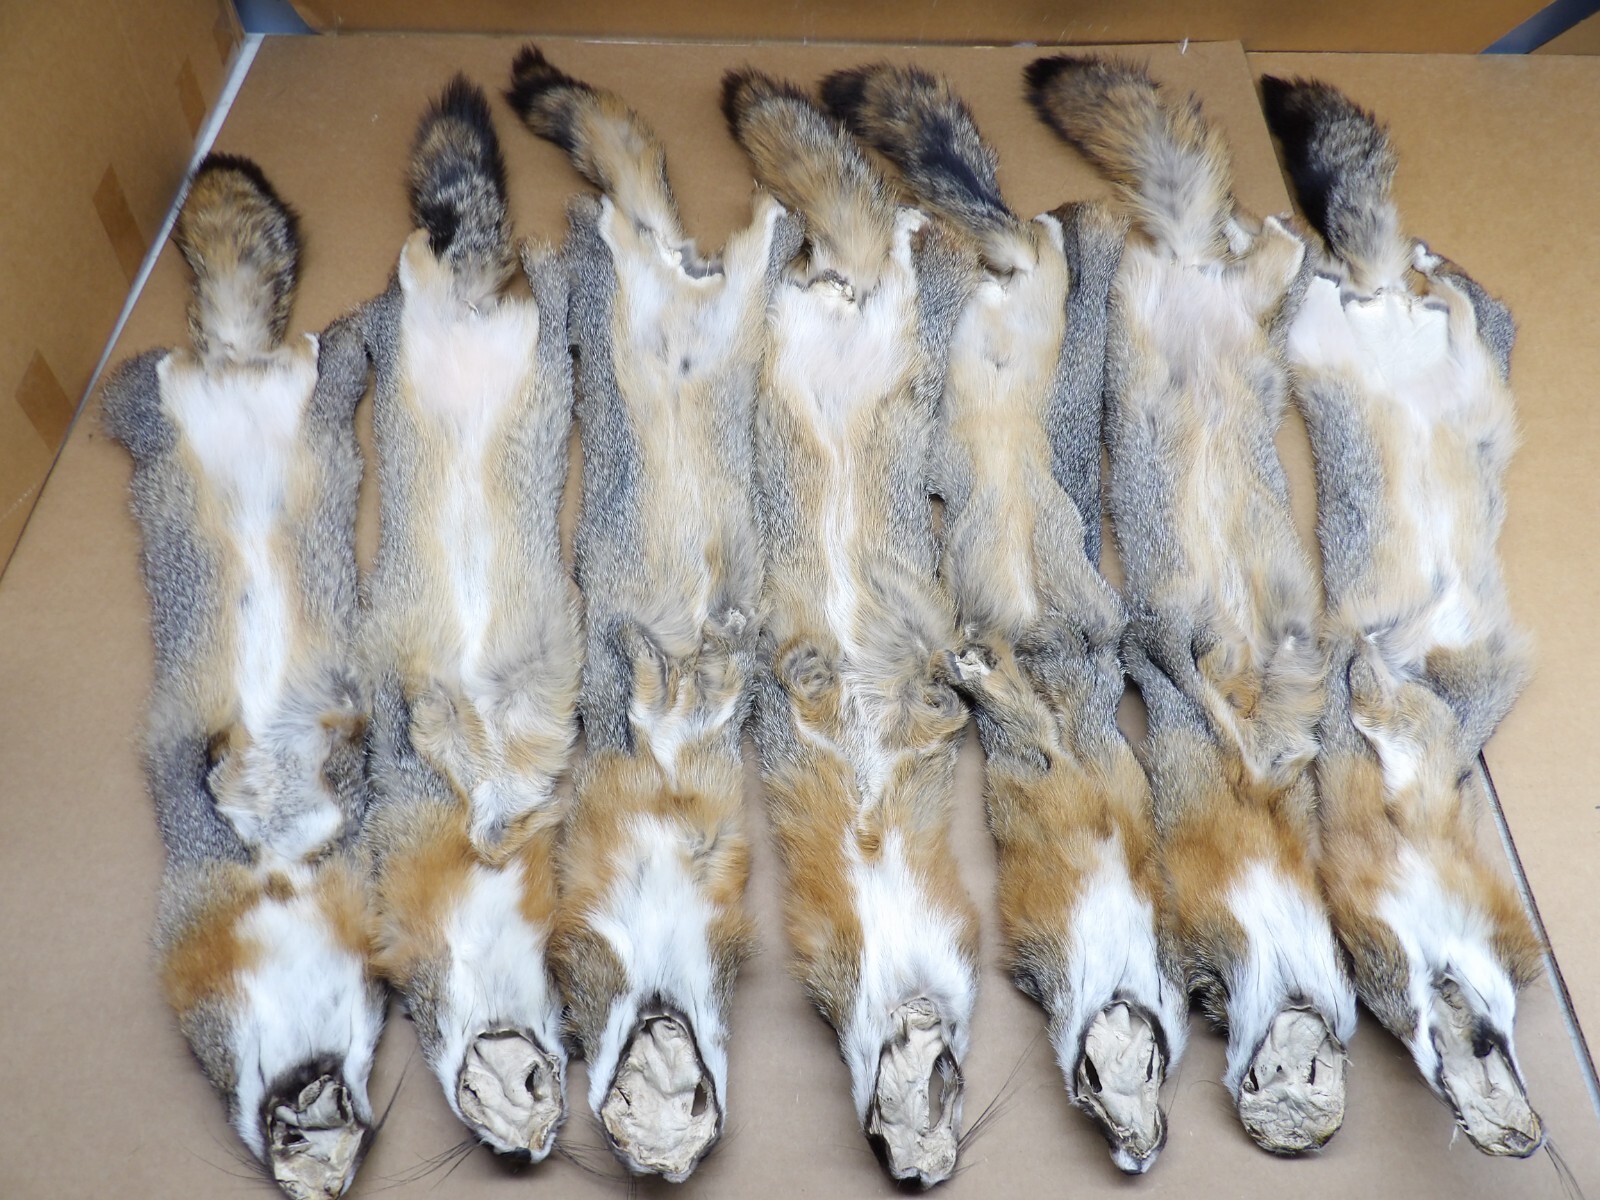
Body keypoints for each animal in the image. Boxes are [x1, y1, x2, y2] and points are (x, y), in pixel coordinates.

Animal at [101, 154, 385, 1199]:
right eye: (296, 1154)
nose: (323, 1181)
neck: (280, 882)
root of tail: (236, 363)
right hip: (161, 408)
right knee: (149, 372)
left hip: (323, 384)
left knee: (340, 339)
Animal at [503, 46, 794, 1180]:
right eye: (636, 1131)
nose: (665, 1160)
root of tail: (682, 266)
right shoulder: (589, 933)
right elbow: (647, 692)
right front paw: (661, 664)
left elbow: (695, 687)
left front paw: (706, 654)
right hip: (637, 271)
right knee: (628, 206)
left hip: (734, 286)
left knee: (674, 212)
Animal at [1026, 56, 1359, 1155]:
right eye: (1266, 1089)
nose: (1289, 1111)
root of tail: (1182, 257)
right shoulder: (1165, 636)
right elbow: (1215, 705)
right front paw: (1257, 753)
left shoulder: (1291, 641)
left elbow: (1269, 715)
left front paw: (1269, 753)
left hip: (1241, 304)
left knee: (1267, 247)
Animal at [1261, 77, 1544, 1157]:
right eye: (1433, 1055)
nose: (1520, 1141)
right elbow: (1386, 704)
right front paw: (1373, 682)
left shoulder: (1454, 719)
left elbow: (1407, 714)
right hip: (1319, 335)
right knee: (1377, 275)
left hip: (1460, 358)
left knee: (1450, 293)